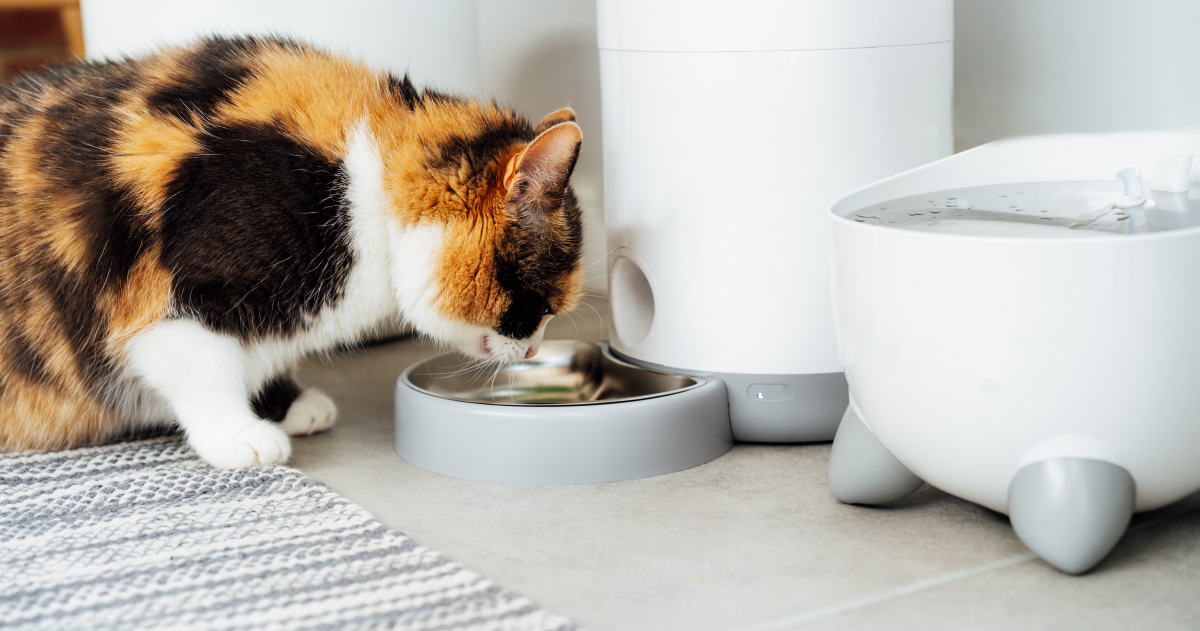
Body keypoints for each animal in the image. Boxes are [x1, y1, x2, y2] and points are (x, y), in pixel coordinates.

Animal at [0, 35, 585, 470]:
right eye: (540, 305)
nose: (534, 349)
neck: (360, 181)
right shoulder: (177, 297)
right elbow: (204, 366)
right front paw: (239, 435)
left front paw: (286, 403)